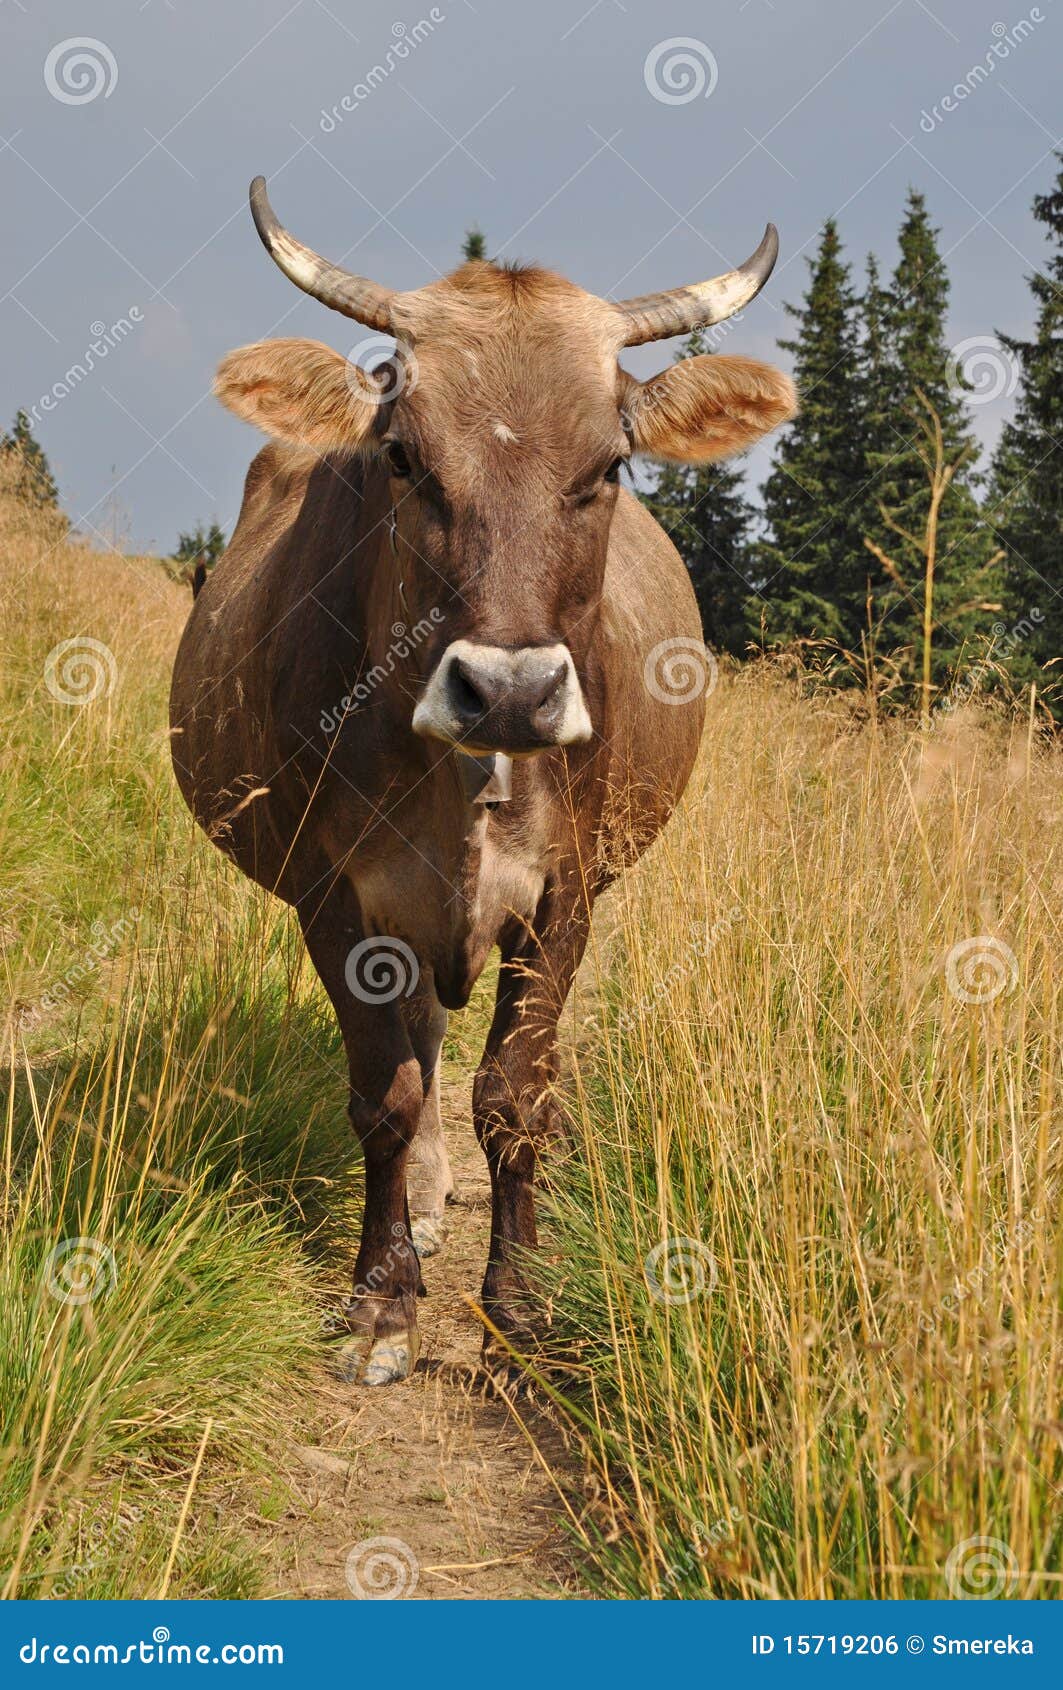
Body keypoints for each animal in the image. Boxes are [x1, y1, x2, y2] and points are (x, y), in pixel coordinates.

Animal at [169, 177, 796, 1386]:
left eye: (608, 467)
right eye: (404, 458)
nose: (508, 689)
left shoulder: (567, 890)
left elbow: (514, 1097)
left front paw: (517, 1305)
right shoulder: (334, 895)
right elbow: (384, 1092)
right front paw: (382, 1299)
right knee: (414, 1047)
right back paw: (417, 1205)